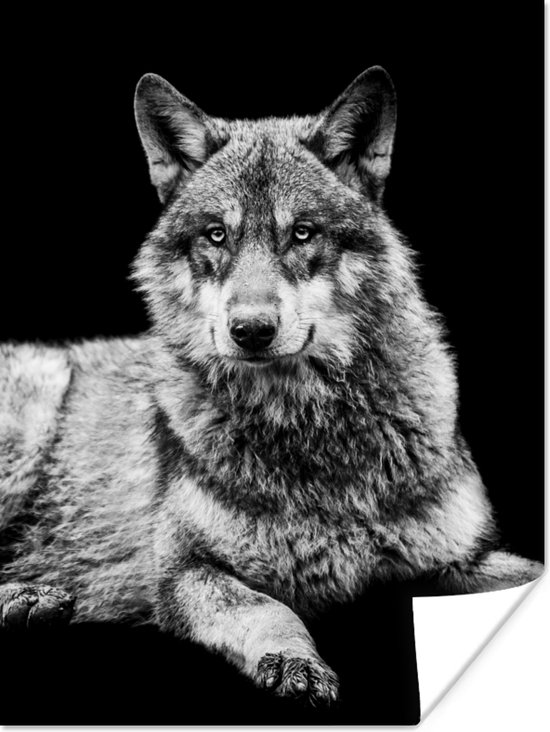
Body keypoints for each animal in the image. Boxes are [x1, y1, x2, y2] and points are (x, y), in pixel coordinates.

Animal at [0, 66, 543, 705]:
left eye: (302, 233)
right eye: (216, 236)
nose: (252, 330)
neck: (308, 427)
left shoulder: (461, 557)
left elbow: (530, 573)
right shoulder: (183, 571)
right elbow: (268, 608)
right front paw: (292, 660)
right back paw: (29, 598)